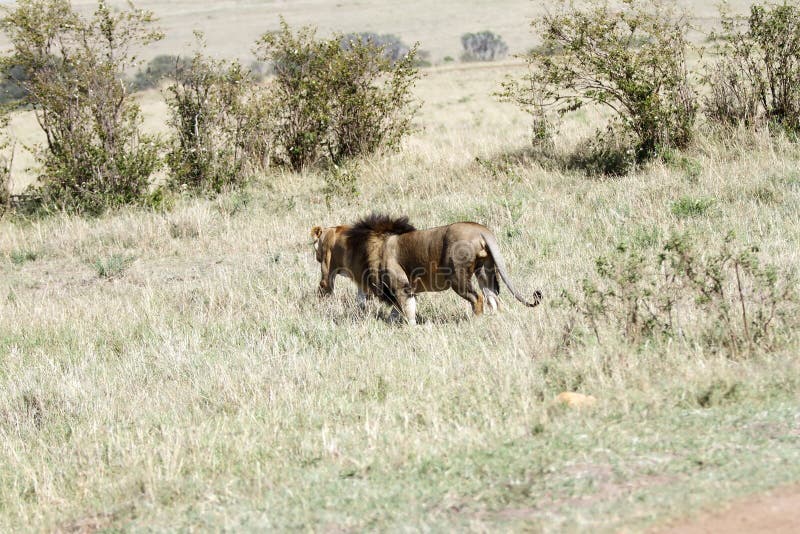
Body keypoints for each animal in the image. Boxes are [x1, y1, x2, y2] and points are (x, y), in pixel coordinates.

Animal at [311, 213, 542, 324]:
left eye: (318, 249)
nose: (317, 259)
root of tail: (481, 230)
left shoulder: (401, 286)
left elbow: (408, 312)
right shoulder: (402, 290)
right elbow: (398, 312)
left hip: (458, 277)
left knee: (478, 299)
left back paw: (476, 322)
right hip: (486, 272)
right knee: (495, 299)